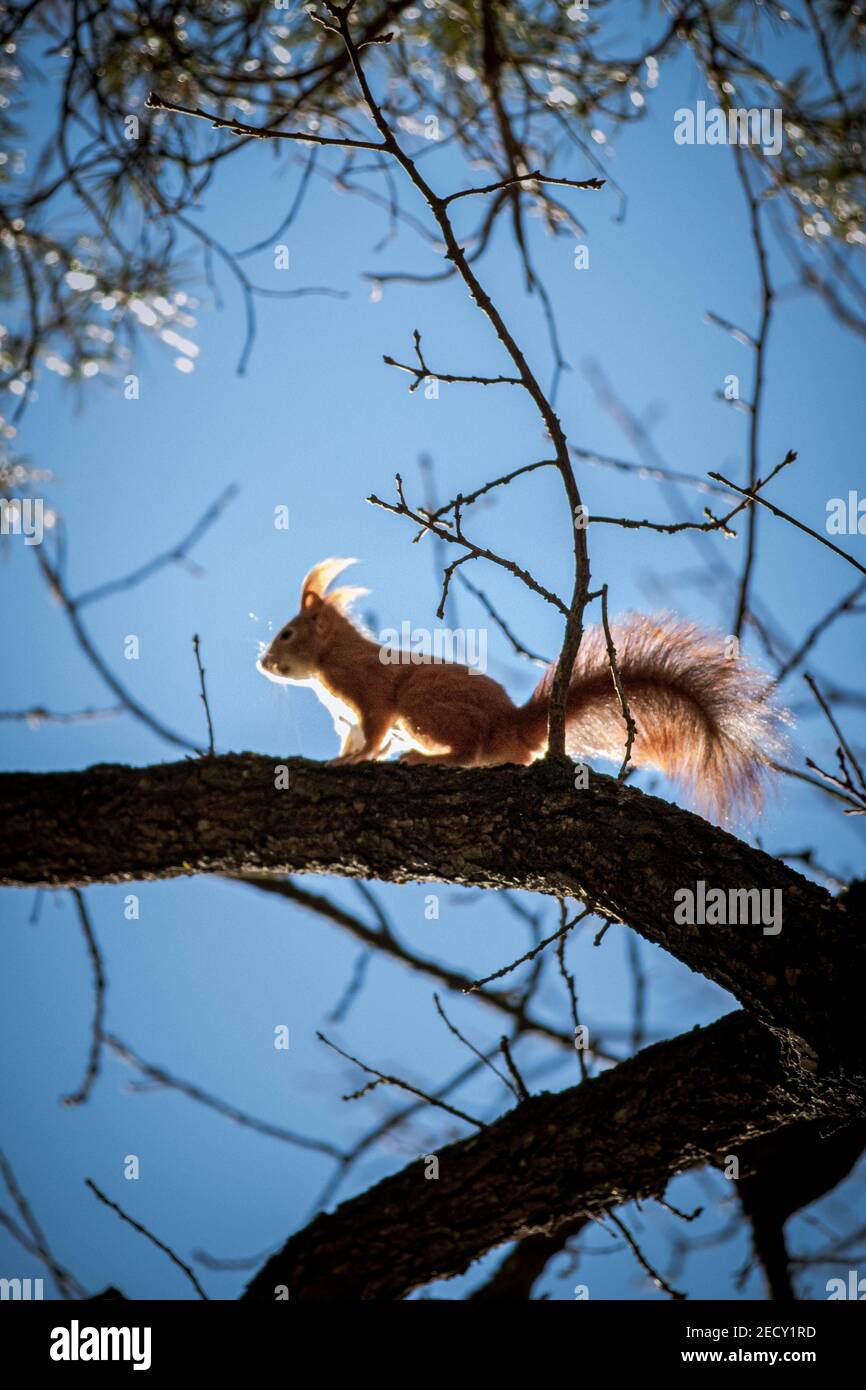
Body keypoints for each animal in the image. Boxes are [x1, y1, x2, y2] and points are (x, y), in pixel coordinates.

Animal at [257, 557, 786, 822]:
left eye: (287, 633)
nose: (262, 662)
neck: (332, 659)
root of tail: (509, 726)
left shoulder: (370, 695)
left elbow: (373, 736)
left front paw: (358, 760)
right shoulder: (346, 716)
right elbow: (353, 738)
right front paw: (342, 757)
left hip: (423, 709)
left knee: (467, 752)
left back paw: (425, 758)